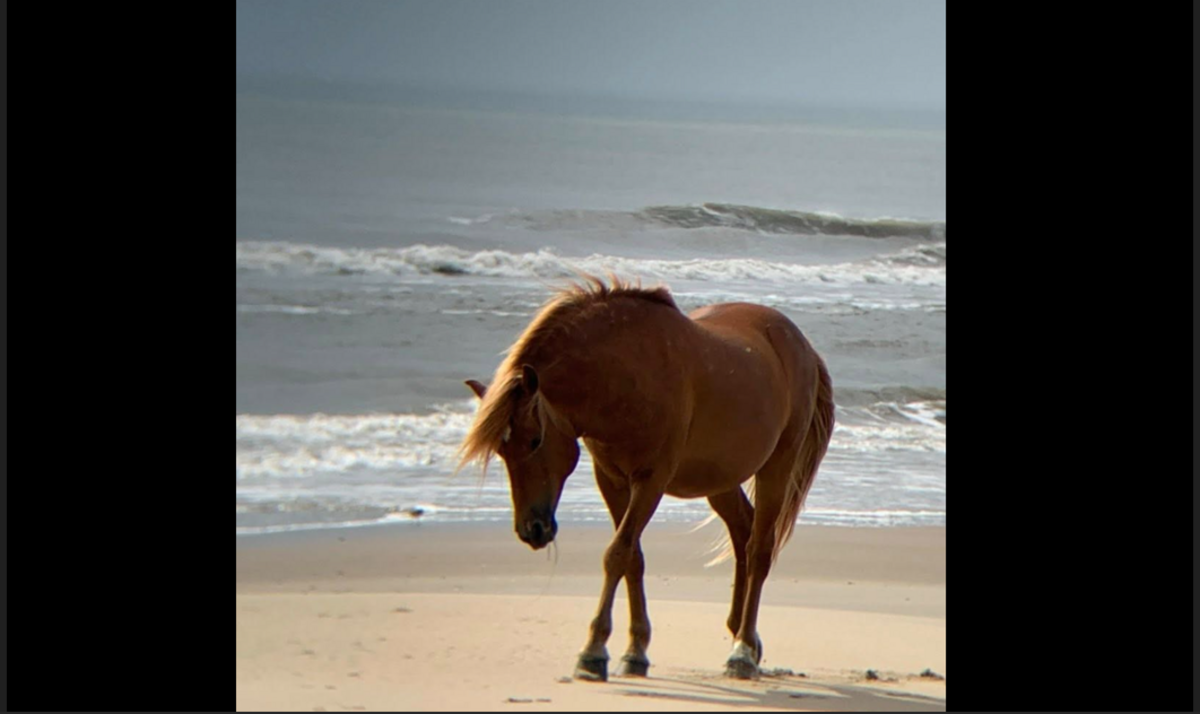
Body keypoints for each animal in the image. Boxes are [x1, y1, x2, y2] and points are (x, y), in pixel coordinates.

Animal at [458, 275, 834, 681]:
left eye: (534, 440)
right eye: (501, 451)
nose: (533, 530)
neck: (625, 375)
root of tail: (801, 346)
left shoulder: (650, 482)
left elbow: (617, 554)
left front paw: (593, 653)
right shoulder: (611, 480)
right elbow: (632, 558)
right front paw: (635, 651)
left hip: (777, 467)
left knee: (759, 548)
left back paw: (743, 651)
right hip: (719, 478)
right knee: (743, 532)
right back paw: (741, 633)